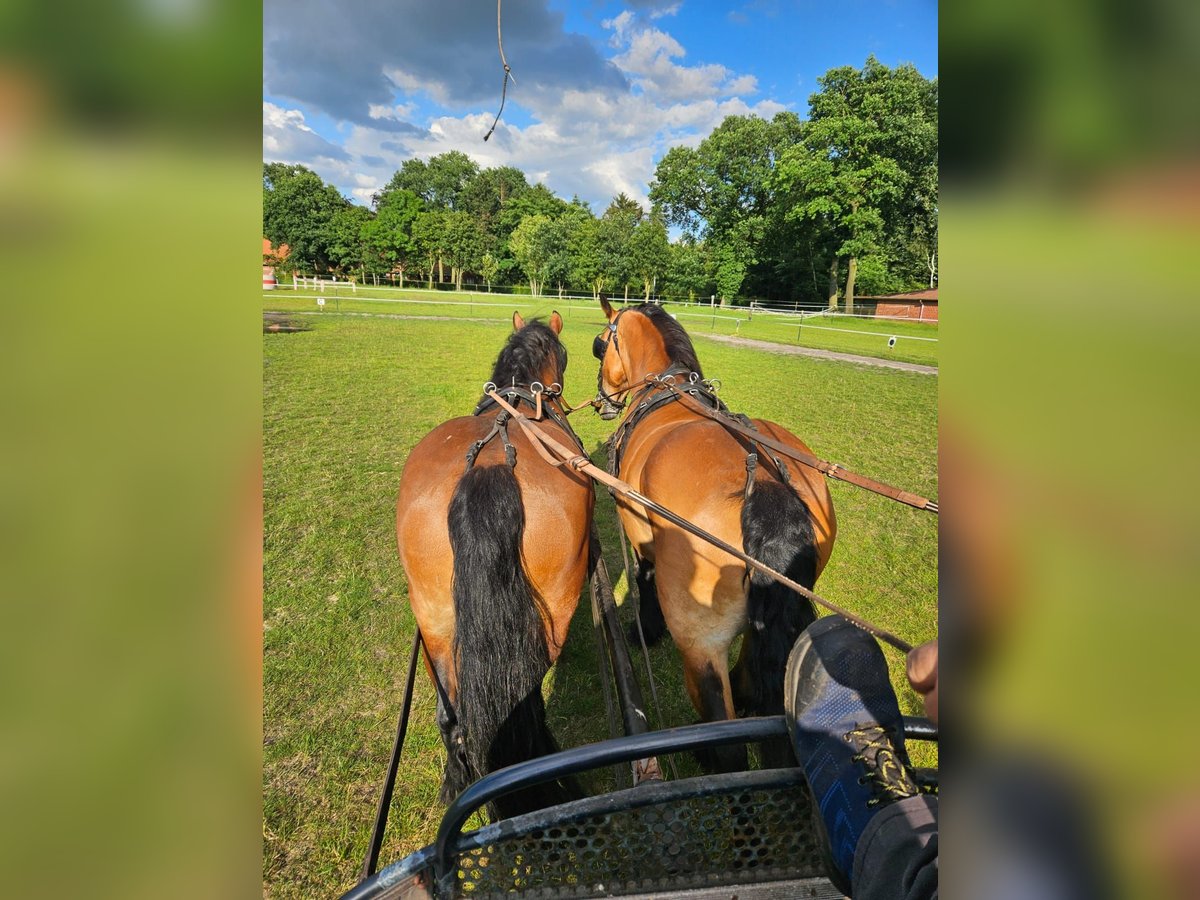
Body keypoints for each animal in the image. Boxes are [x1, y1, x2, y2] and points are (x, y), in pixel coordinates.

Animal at [395, 311, 593, 819]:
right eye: (565, 356)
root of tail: (489, 464)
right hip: (553, 611)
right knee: (529, 708)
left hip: (434, 617)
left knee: (451, 716)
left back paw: (454, 783)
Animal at [592, 299, 837, 770]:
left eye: (601, 344)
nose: (601, 400)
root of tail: (764, 484)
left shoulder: (639, 535)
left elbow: (644, 579)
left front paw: (646, 629)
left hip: (699, 645)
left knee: (727, 744)